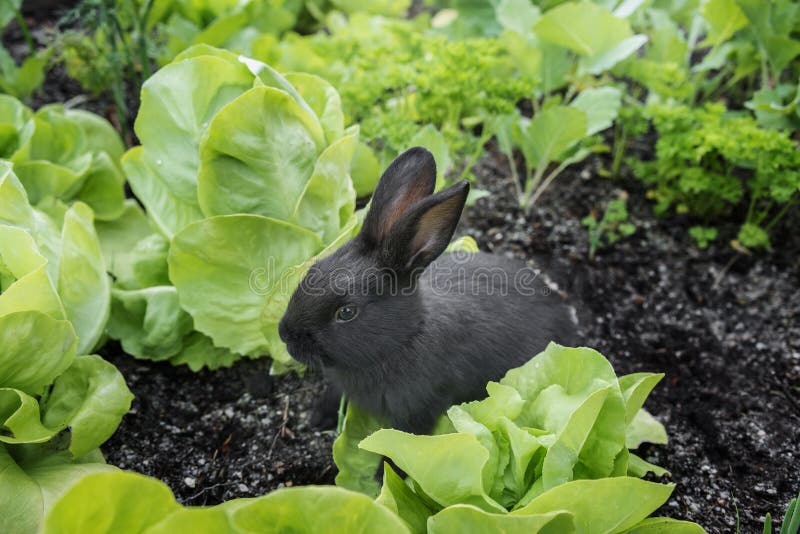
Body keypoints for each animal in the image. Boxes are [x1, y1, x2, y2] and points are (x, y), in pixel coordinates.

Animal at [278, 147, 577, 434]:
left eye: (347, 312)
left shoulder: (419, 410)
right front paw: (316, 418)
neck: (404, 338)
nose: (285, 334)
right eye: (314, 268)